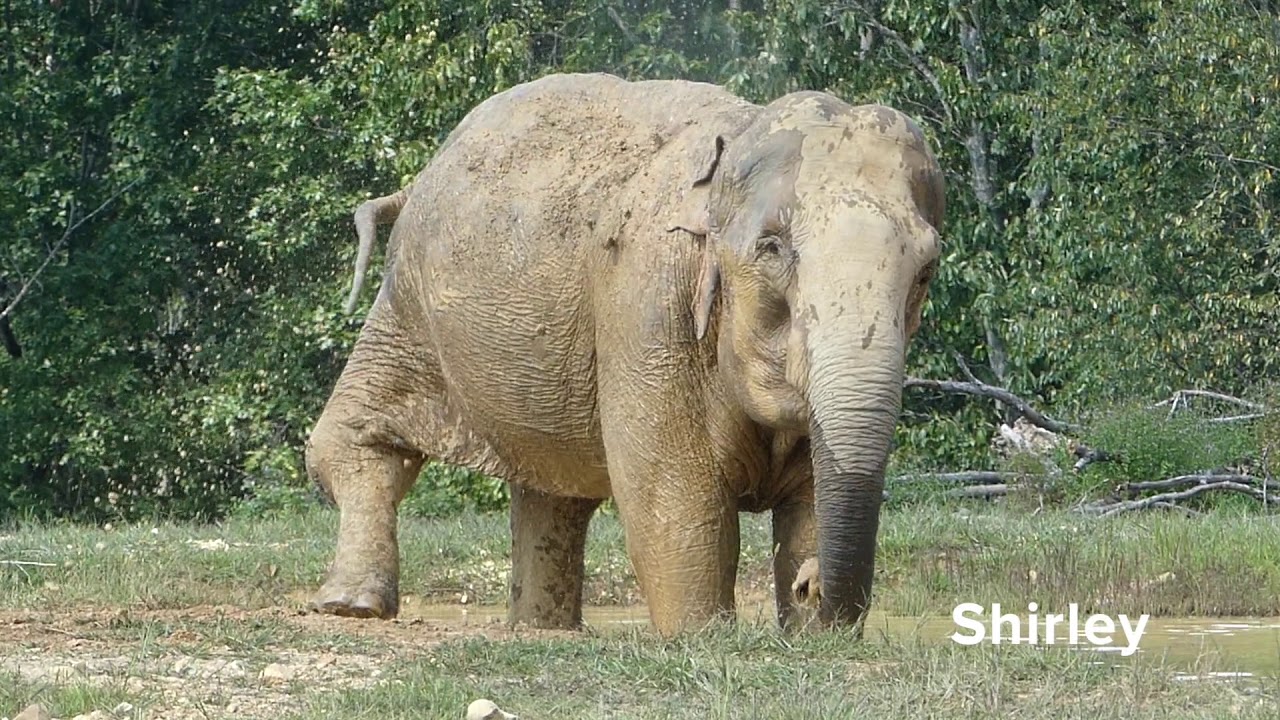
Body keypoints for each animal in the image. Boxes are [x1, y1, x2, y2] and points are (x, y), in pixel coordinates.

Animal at [306, 72, 944, 636]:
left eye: (926, 270)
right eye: (771, 247)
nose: (811, 585)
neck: (736, 139)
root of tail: (419, 178)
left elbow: (810, 495)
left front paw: (812, 635)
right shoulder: (645, 302)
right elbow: (672, 500)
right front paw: (699, 639)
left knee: (554, 497)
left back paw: (542, 629)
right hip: (406, 304)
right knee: (353, 438)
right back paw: (351, 606)